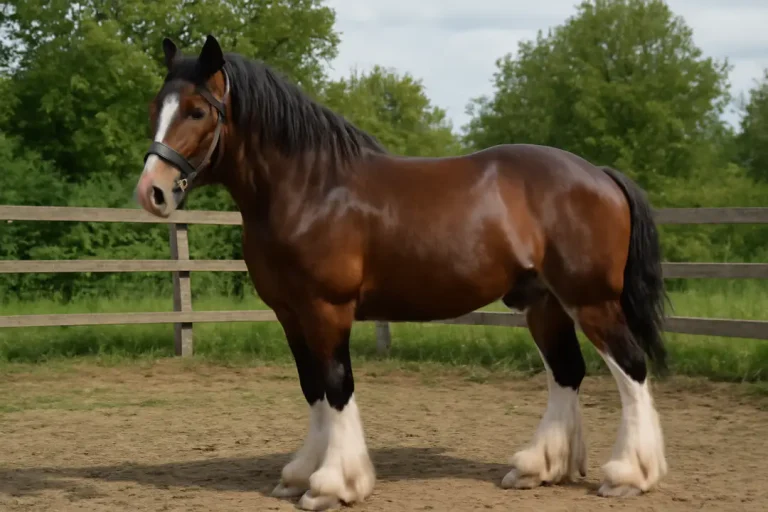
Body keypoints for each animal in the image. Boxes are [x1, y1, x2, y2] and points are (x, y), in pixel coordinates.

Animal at [134, 35, 669, 510]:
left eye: (197, 111)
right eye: (155, 106)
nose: (152, 191)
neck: (310, 188)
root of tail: (600, 175)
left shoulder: (327, 309)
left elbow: (336, 386)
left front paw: (334, 484)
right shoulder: (290, 313)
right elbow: (312, 388)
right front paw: (301, 473)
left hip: (590, 300)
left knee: (632, 369)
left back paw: (630, 475)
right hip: (545, 304)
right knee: (566, 373)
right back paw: (538, 467)